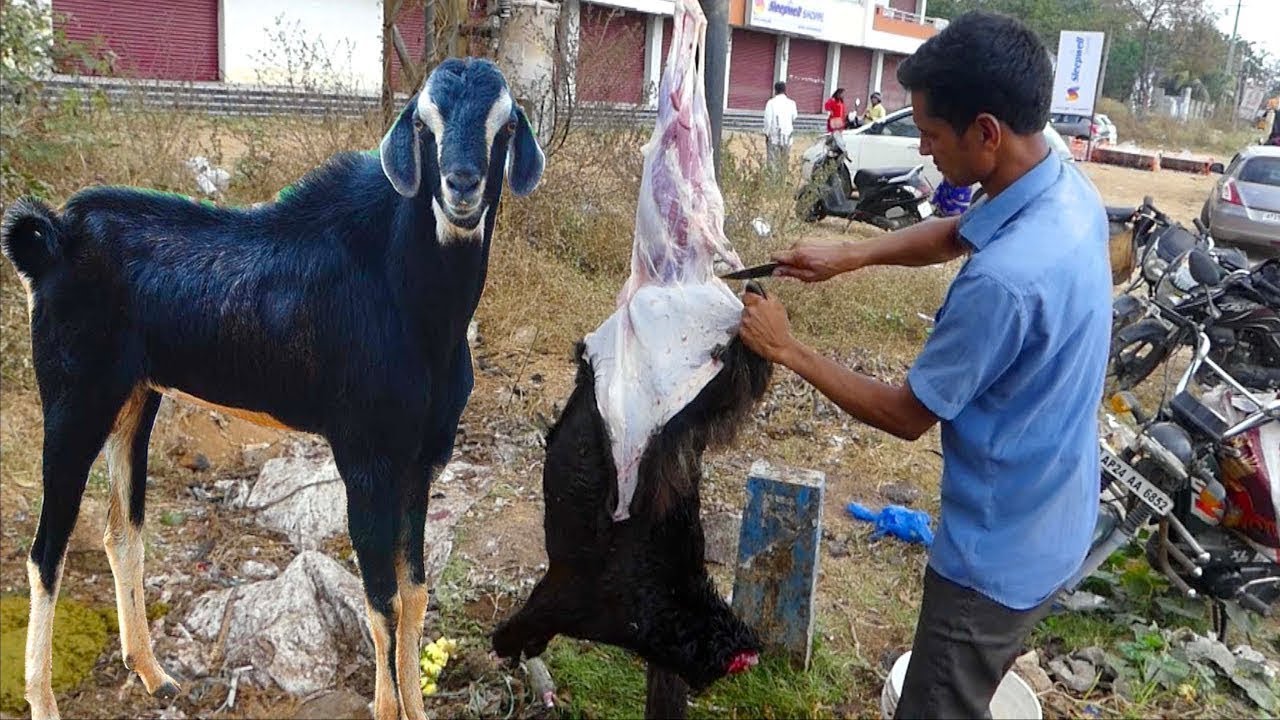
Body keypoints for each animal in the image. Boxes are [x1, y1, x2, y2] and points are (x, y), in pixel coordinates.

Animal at [0, 57, 543, 720]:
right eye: (423, 122)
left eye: (505, 125)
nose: (461, 185)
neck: (410, 304)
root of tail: (54, 236)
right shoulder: (364, 456)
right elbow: (382, 602)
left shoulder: (423, 459)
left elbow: (414, 593)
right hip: (73, 397)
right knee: (44, 553)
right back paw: (45, 698)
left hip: (134, 397)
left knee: (120, 529)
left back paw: (154, 673)